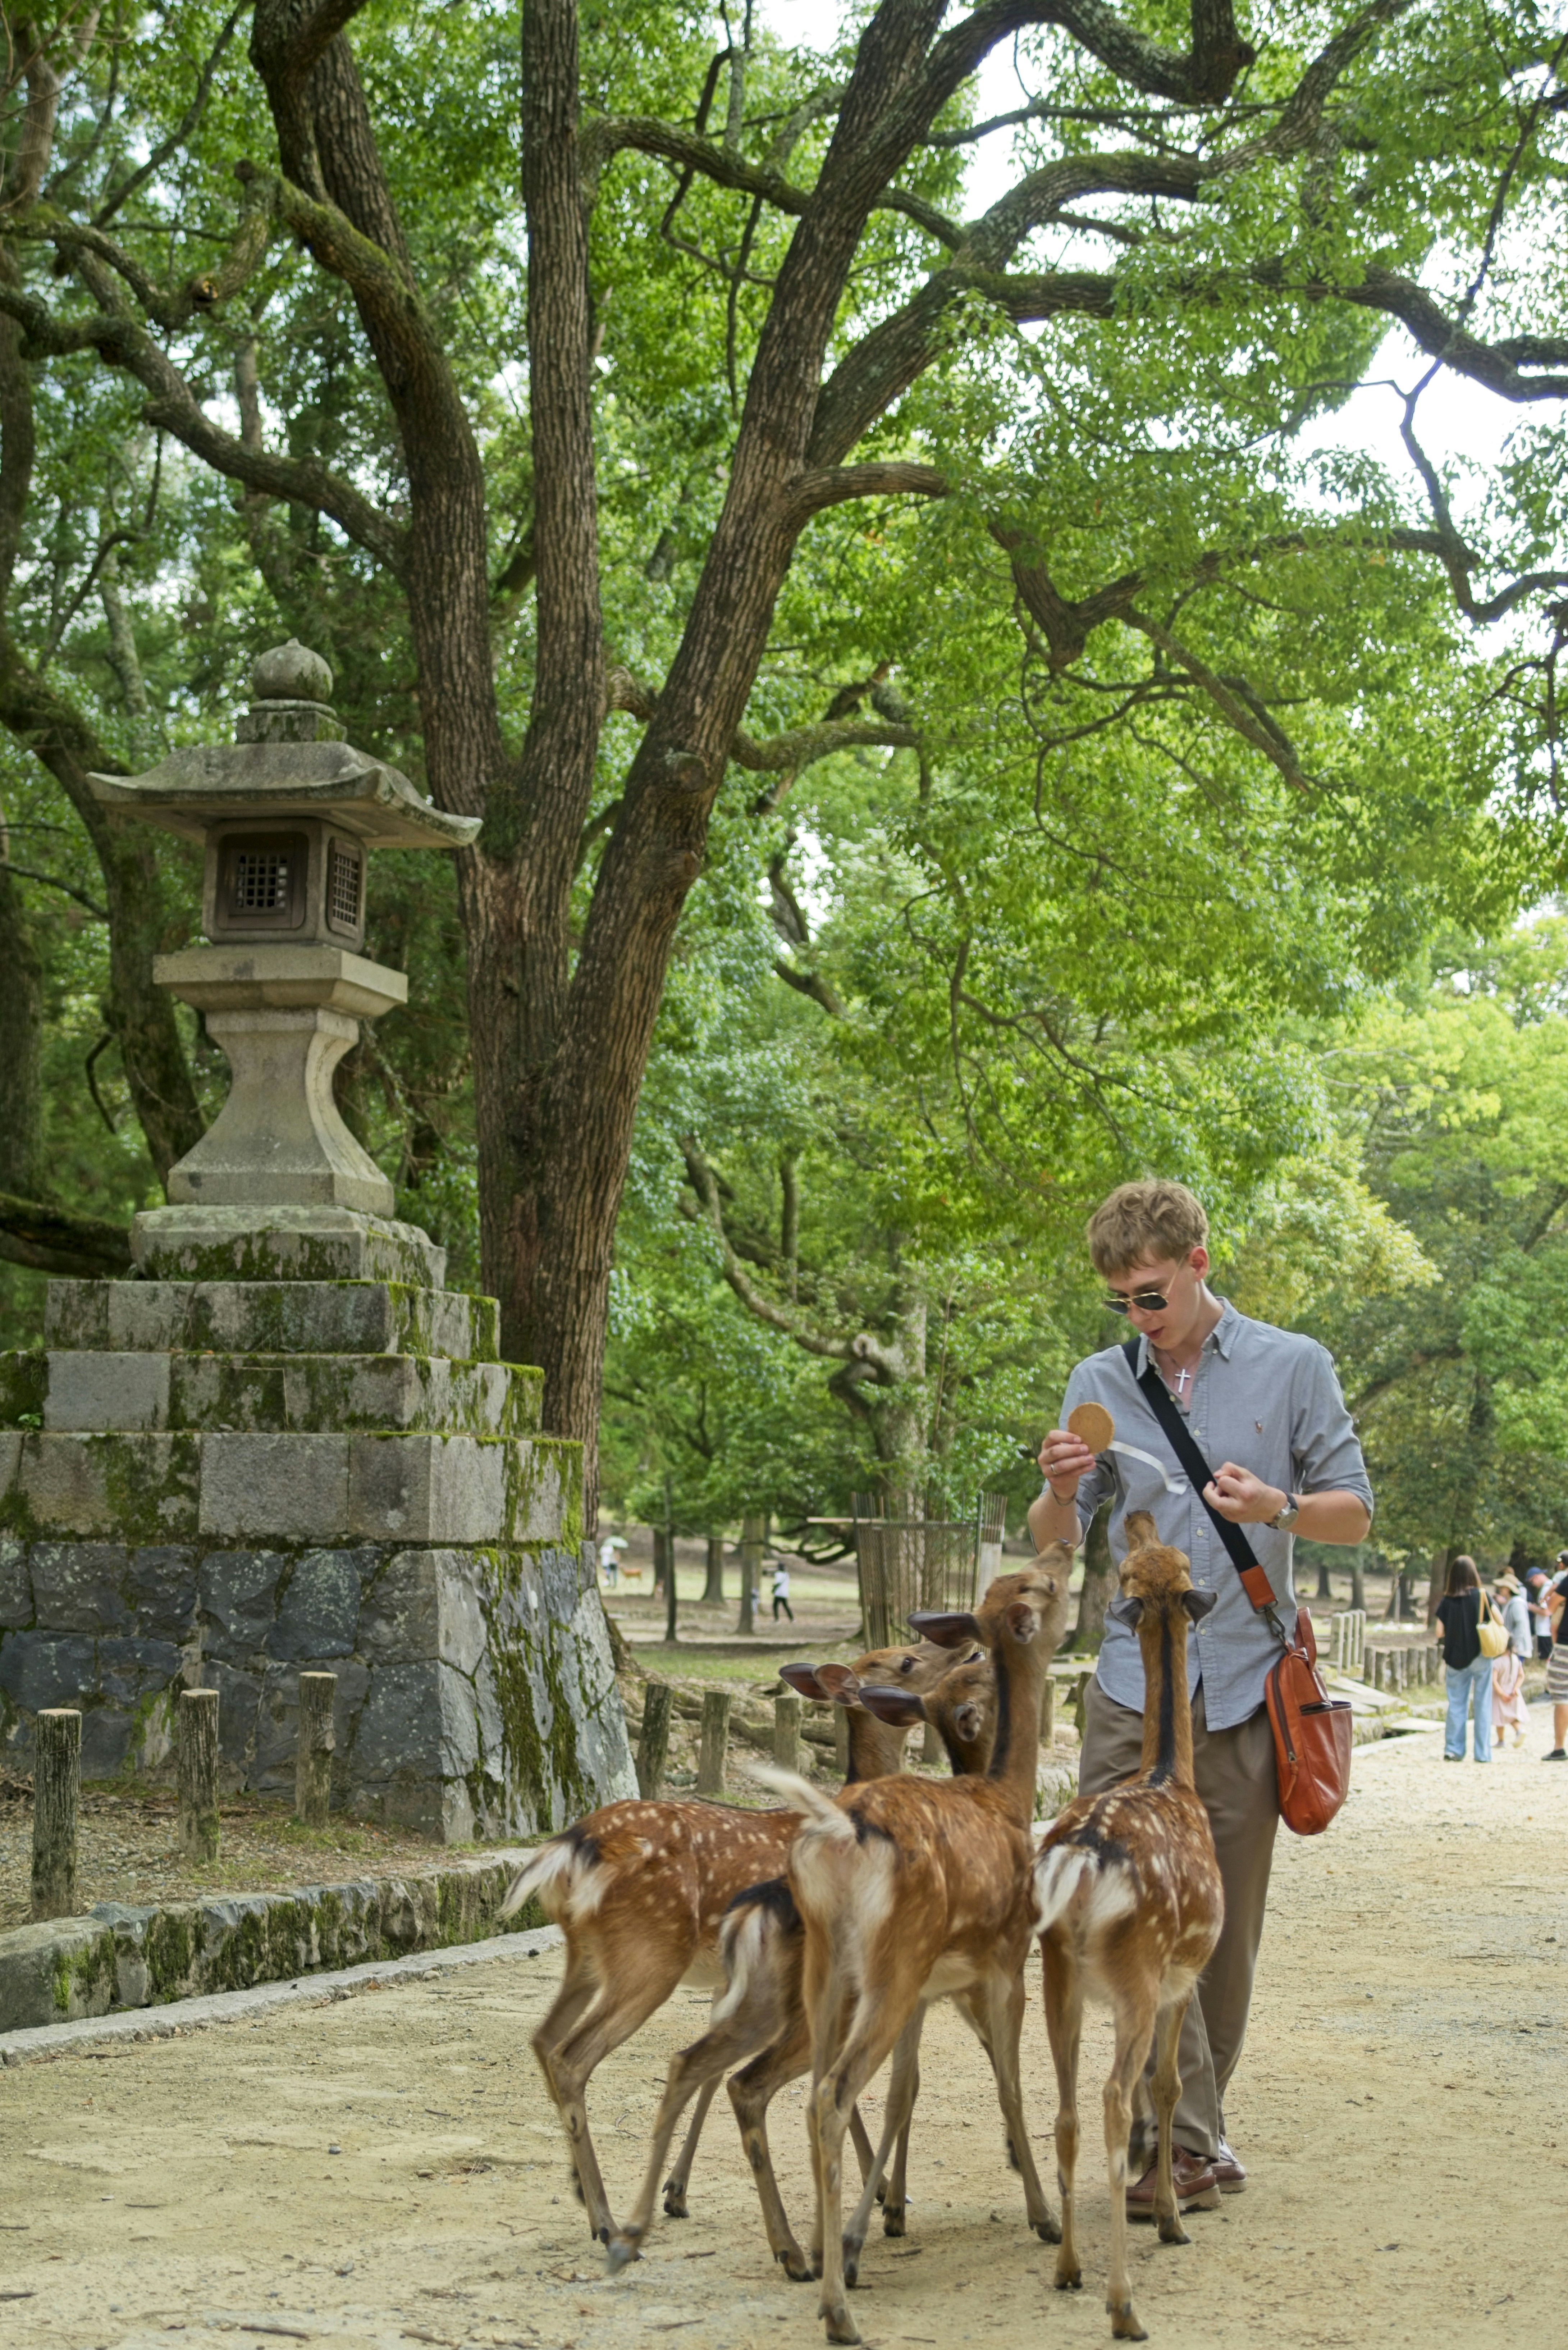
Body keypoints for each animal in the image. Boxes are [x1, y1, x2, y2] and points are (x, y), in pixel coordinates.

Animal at [498, 1635, 979, 2247]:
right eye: (905, 1661)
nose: (969, 1648)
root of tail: (568, 1847)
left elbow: (714, 2071)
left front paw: (677, 2189)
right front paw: (886, 2197)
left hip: (586, 1953)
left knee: (543, 2037)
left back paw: (584, 2191)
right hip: (650, 1953)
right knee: (571, 2055)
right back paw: (606, 2219)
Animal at [761, 1550, 1074, 2346]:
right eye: (1041, 1588)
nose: (1061, 1554)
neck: (1006, 1798)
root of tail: (835, 1838)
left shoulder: (934, 1988)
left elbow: (907, 2089)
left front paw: (875, 2220)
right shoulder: (1004, 1960)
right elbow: (1008, 2083)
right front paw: (1042, 2216)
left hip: (832, 1972)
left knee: (805, 2087)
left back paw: (816, 2253)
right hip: (891, 1962)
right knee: (830, 2091)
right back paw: (837, 2308)